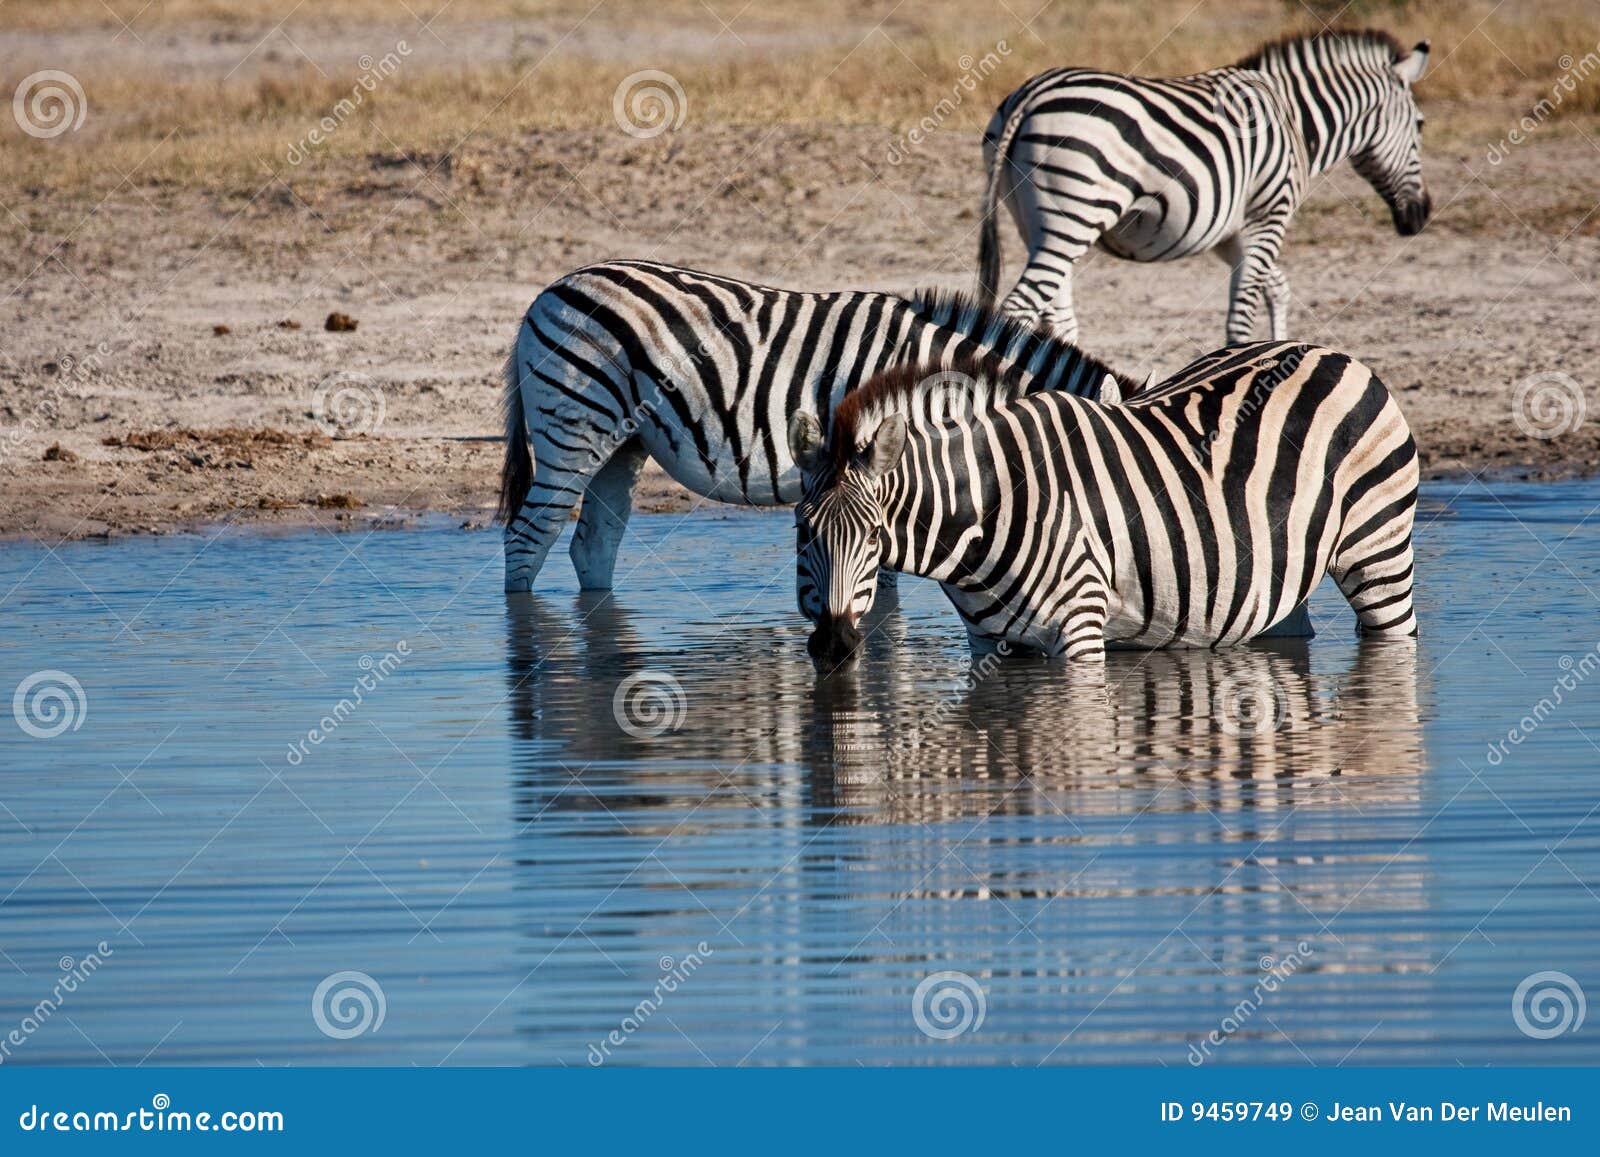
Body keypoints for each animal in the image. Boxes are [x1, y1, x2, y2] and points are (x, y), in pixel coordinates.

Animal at [498, 259, 1133, 593]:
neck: (937, 385)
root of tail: (547, 292)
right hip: (572, 426)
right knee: (527, 538)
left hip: (623, 444)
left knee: (593, 544)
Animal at [789, 340, 1419, 664]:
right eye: (802, 530)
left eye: (874, 535)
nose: (834, 644)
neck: (994, 499)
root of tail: (1328, 351)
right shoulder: (991, 643)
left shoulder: (1080, 630)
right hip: (1276, 579)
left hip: (1378, 553)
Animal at [978, 29, 1431, 343]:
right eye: (1421, 125)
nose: (1421, 216)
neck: (1294, 119)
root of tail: (1031, 93)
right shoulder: (1270, 212)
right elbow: (1242, 314)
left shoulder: (1233, 233)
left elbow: (1277, 289)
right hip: (1073, 218)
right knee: (1018, 310)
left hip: (1037, 224)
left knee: (1057, 318)